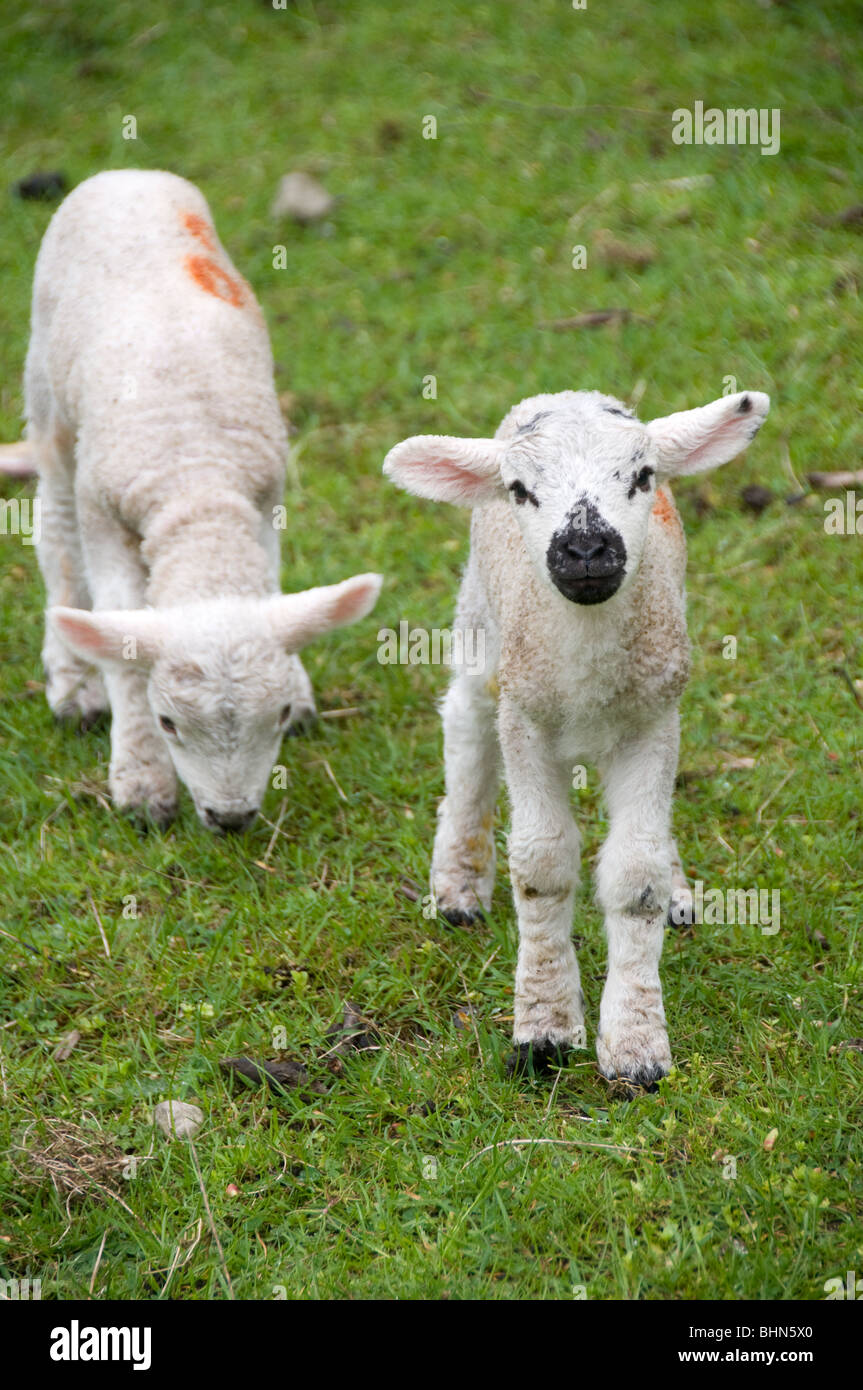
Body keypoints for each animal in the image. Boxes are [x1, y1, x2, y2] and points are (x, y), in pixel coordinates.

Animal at [22, 169, 381, 830]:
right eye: (168, 723)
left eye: (279, 716)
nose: (232, 818)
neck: (196, 487)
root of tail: (124, 174)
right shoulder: (104, 515)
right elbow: (123, 649)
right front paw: (141, 779)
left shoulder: (262, 499)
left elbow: (270, 586)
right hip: (47, 390)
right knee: (54, 522)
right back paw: (73, 680)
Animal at [384, 387, 769, 1085]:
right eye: (519, 489)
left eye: (643, 476)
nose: (586, 550)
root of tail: (565, 393)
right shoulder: (526, 720)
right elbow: (542, 865)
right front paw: (545, 1027)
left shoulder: (652, 720)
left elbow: (636, 872)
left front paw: (637, 1043)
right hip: (482, 625)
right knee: (466, 725)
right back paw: (458, 879)